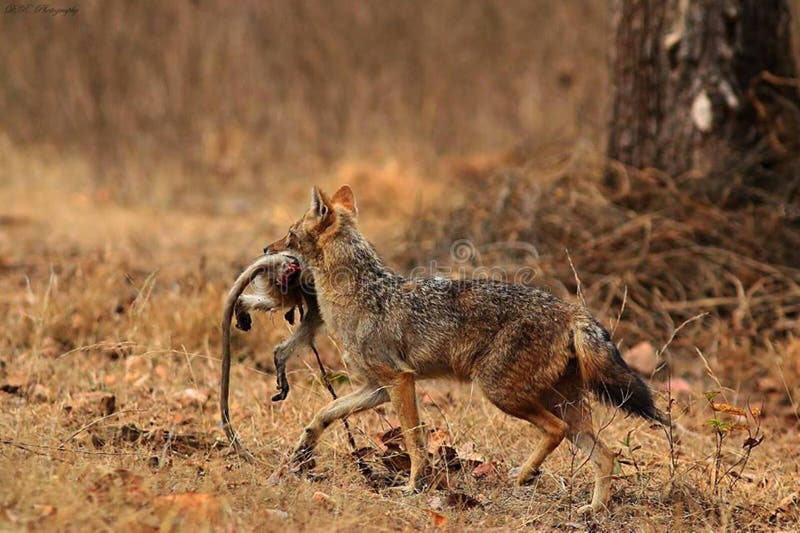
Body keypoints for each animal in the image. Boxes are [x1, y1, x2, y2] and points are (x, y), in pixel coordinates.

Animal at [265, 185, 665, 514]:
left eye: (289, 233)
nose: (266, 248)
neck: (357, 296)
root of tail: (573, 311)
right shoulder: (376, 388)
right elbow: (324, 413)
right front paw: (303, 448)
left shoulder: (400, 380)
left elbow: (413, 440)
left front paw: (414, 486)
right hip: (562, 405)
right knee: (606, 454)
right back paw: (593, 509)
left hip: (503, 394)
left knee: (556, 431)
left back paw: (524, 474)